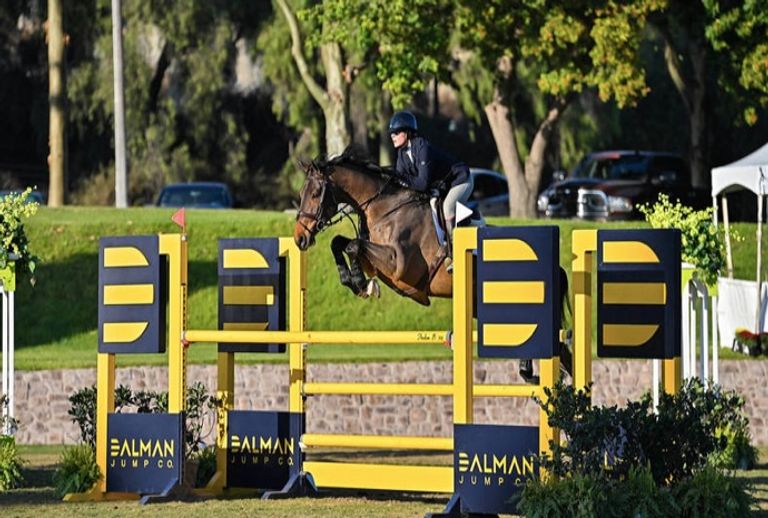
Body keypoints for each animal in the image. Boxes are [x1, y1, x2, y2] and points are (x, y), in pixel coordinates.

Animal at [293, 150, 572, 380]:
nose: (299, 238)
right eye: (300, 195)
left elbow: (353, 246)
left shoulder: (399, 266)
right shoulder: (377, 262)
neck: (385, 209)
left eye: (315, 194)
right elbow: (341, 243)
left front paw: (361, 283)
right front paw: (353, 281)